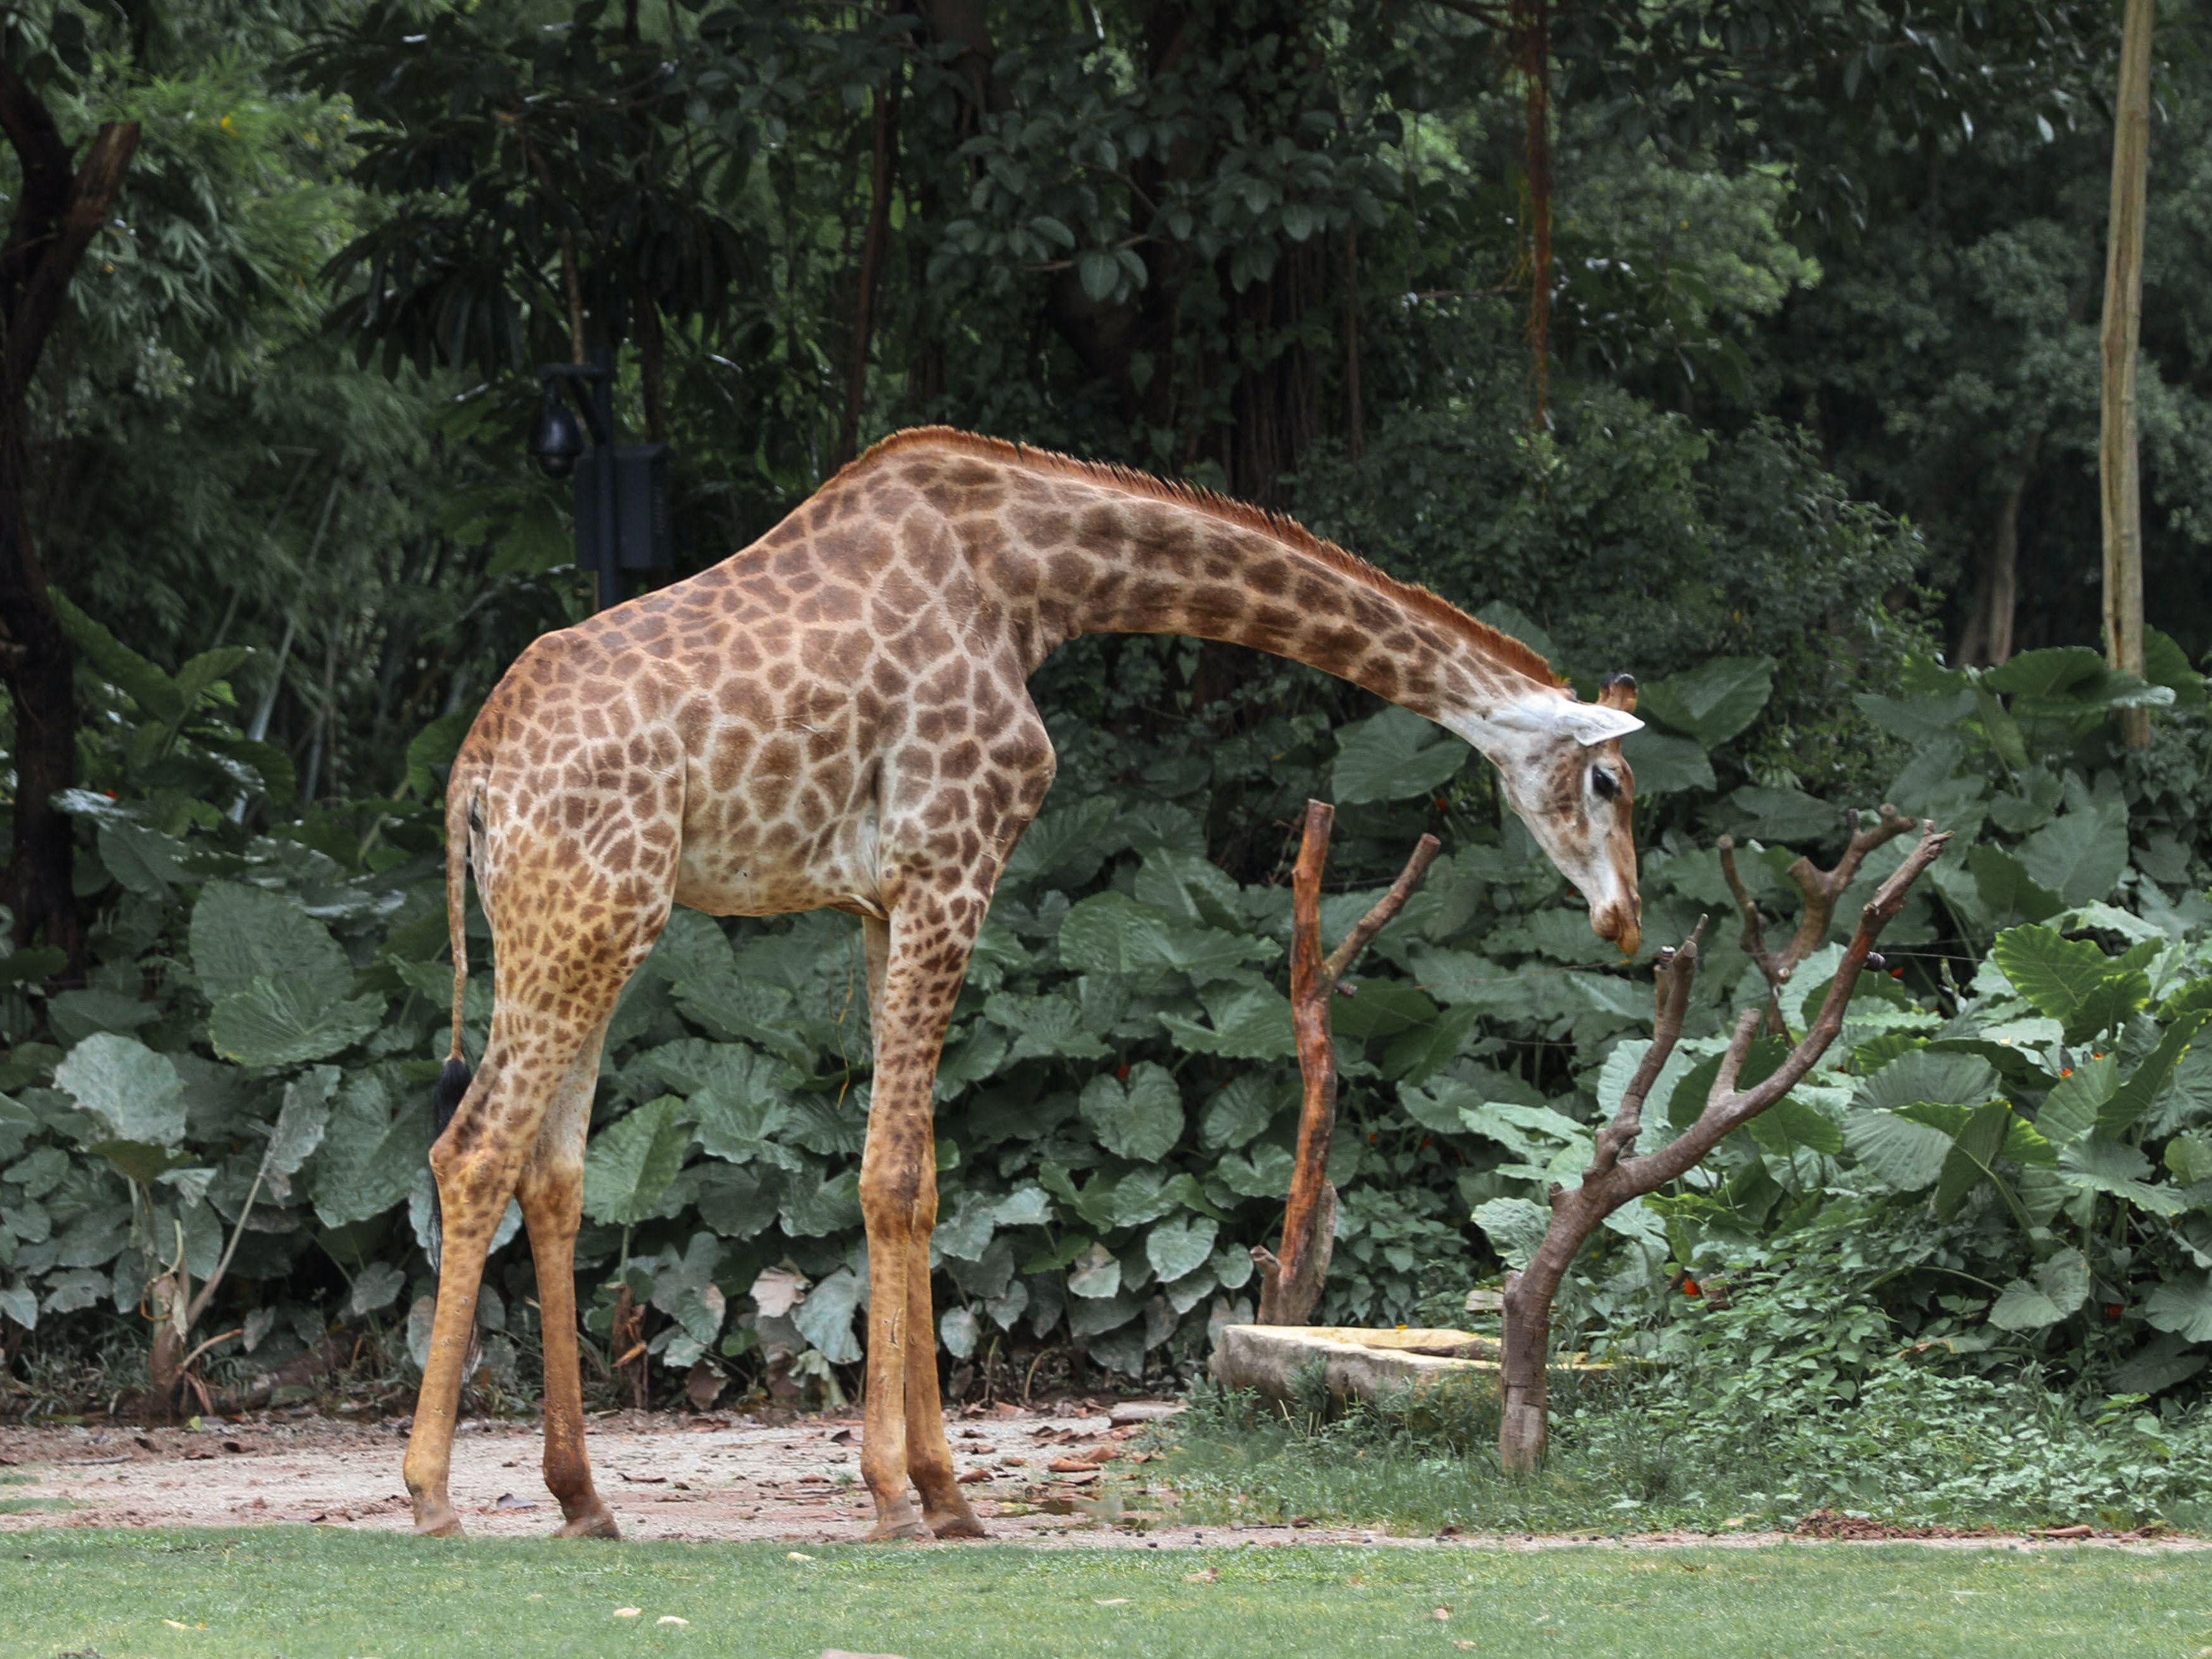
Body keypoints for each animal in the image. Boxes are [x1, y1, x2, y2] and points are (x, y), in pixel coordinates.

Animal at [403, 427, 1645, 1541]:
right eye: (1609, 781)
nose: (1624, 919)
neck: (1029, 580)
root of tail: (472, 773)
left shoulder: (883, 899)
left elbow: (915, 1183)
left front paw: (928, 1492)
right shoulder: (952, 863)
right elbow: (895, 1176)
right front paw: (907, 1495)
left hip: (595, 925)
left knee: (552, 1171)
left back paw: (582, 1499)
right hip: (588, 915)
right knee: (472, 1149)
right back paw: (430, 1496)